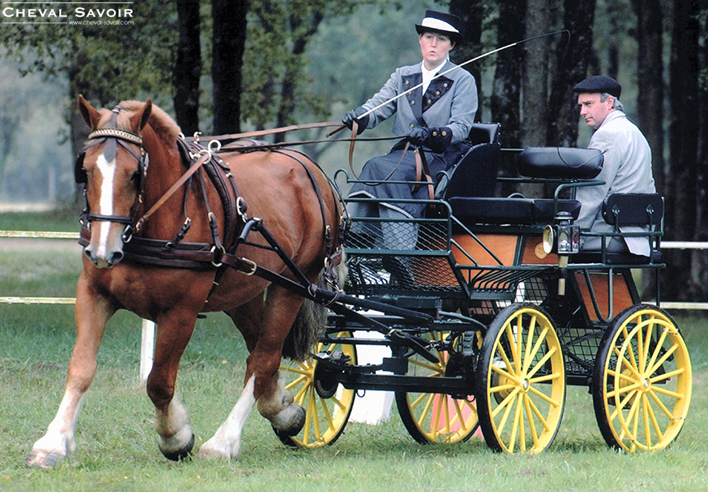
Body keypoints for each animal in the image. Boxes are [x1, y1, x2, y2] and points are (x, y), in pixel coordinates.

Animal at [25, 96, 344, 468]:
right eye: (86, 170)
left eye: (135, 174)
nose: (103, 251)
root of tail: (310, 168)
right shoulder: (94, 294)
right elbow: (81, 369)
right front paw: (52, 443)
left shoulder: (180, 313)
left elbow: (159, 382)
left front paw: (175, 437)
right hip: (243, 292)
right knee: (263, 354)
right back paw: (281, 410)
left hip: (292, 284)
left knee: (263, 358)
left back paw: (224, 441)